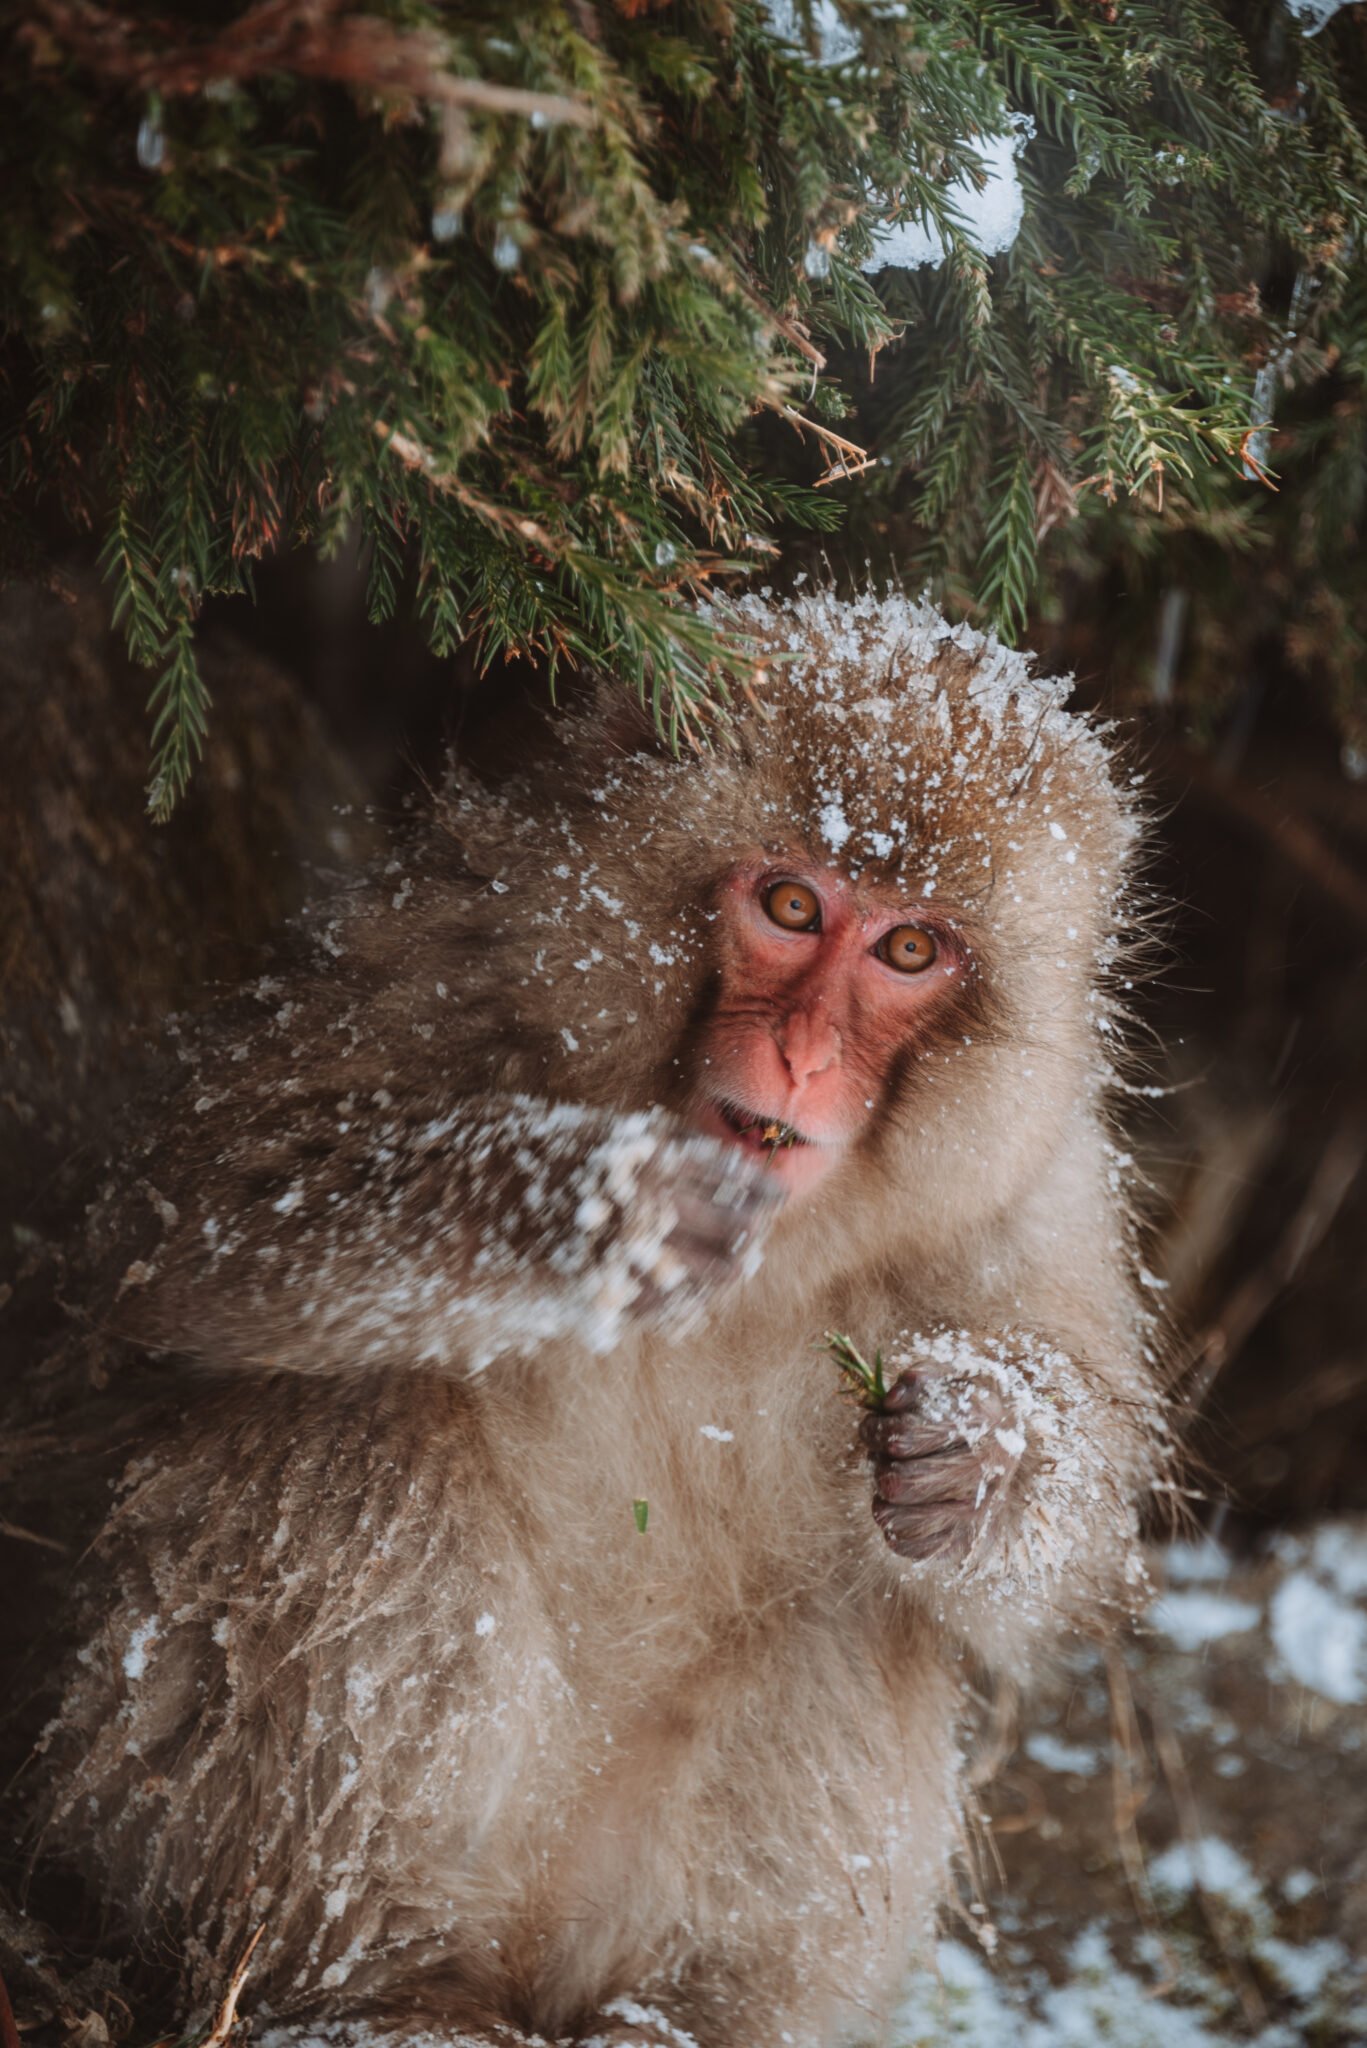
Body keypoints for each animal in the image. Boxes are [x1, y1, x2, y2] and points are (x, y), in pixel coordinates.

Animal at [37, 589, 1168, 2048]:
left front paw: (979, 1450)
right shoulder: (457, 953)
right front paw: (585, 1213)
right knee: (361, 1425)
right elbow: (185, 1228)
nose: (802, 1057)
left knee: (859, 1605)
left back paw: (679, 2013)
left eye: (909, 949)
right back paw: (369, 1985)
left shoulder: (1033, 1183)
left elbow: (1066, 1523)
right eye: (791, 904)